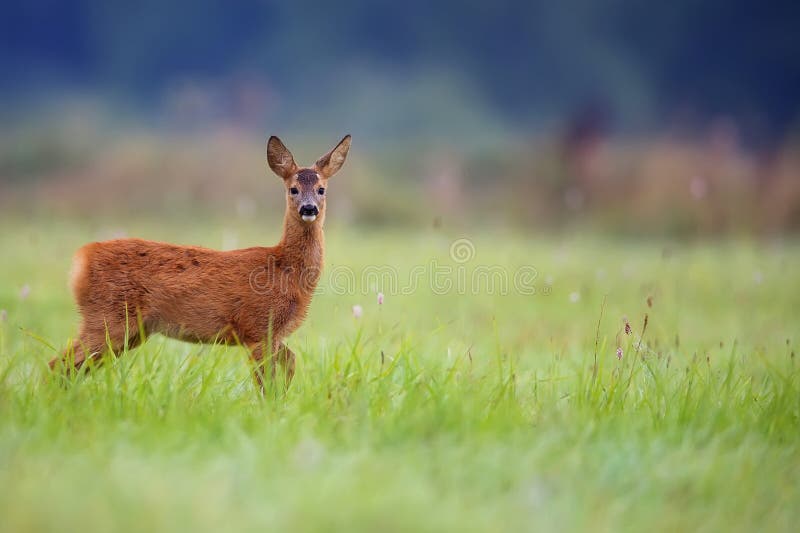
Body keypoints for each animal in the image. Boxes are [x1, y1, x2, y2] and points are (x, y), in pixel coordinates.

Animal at [49, 135, 351, 392]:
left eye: (321, 189)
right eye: (293, 189)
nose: (309, 209)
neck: (284, 267)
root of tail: (80, 260)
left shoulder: (272, 335)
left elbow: (290, 363)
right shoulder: (257, 328)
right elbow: (267, 381)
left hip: (129, 331)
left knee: (71, 367)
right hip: (108, 318)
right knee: (57, 364)